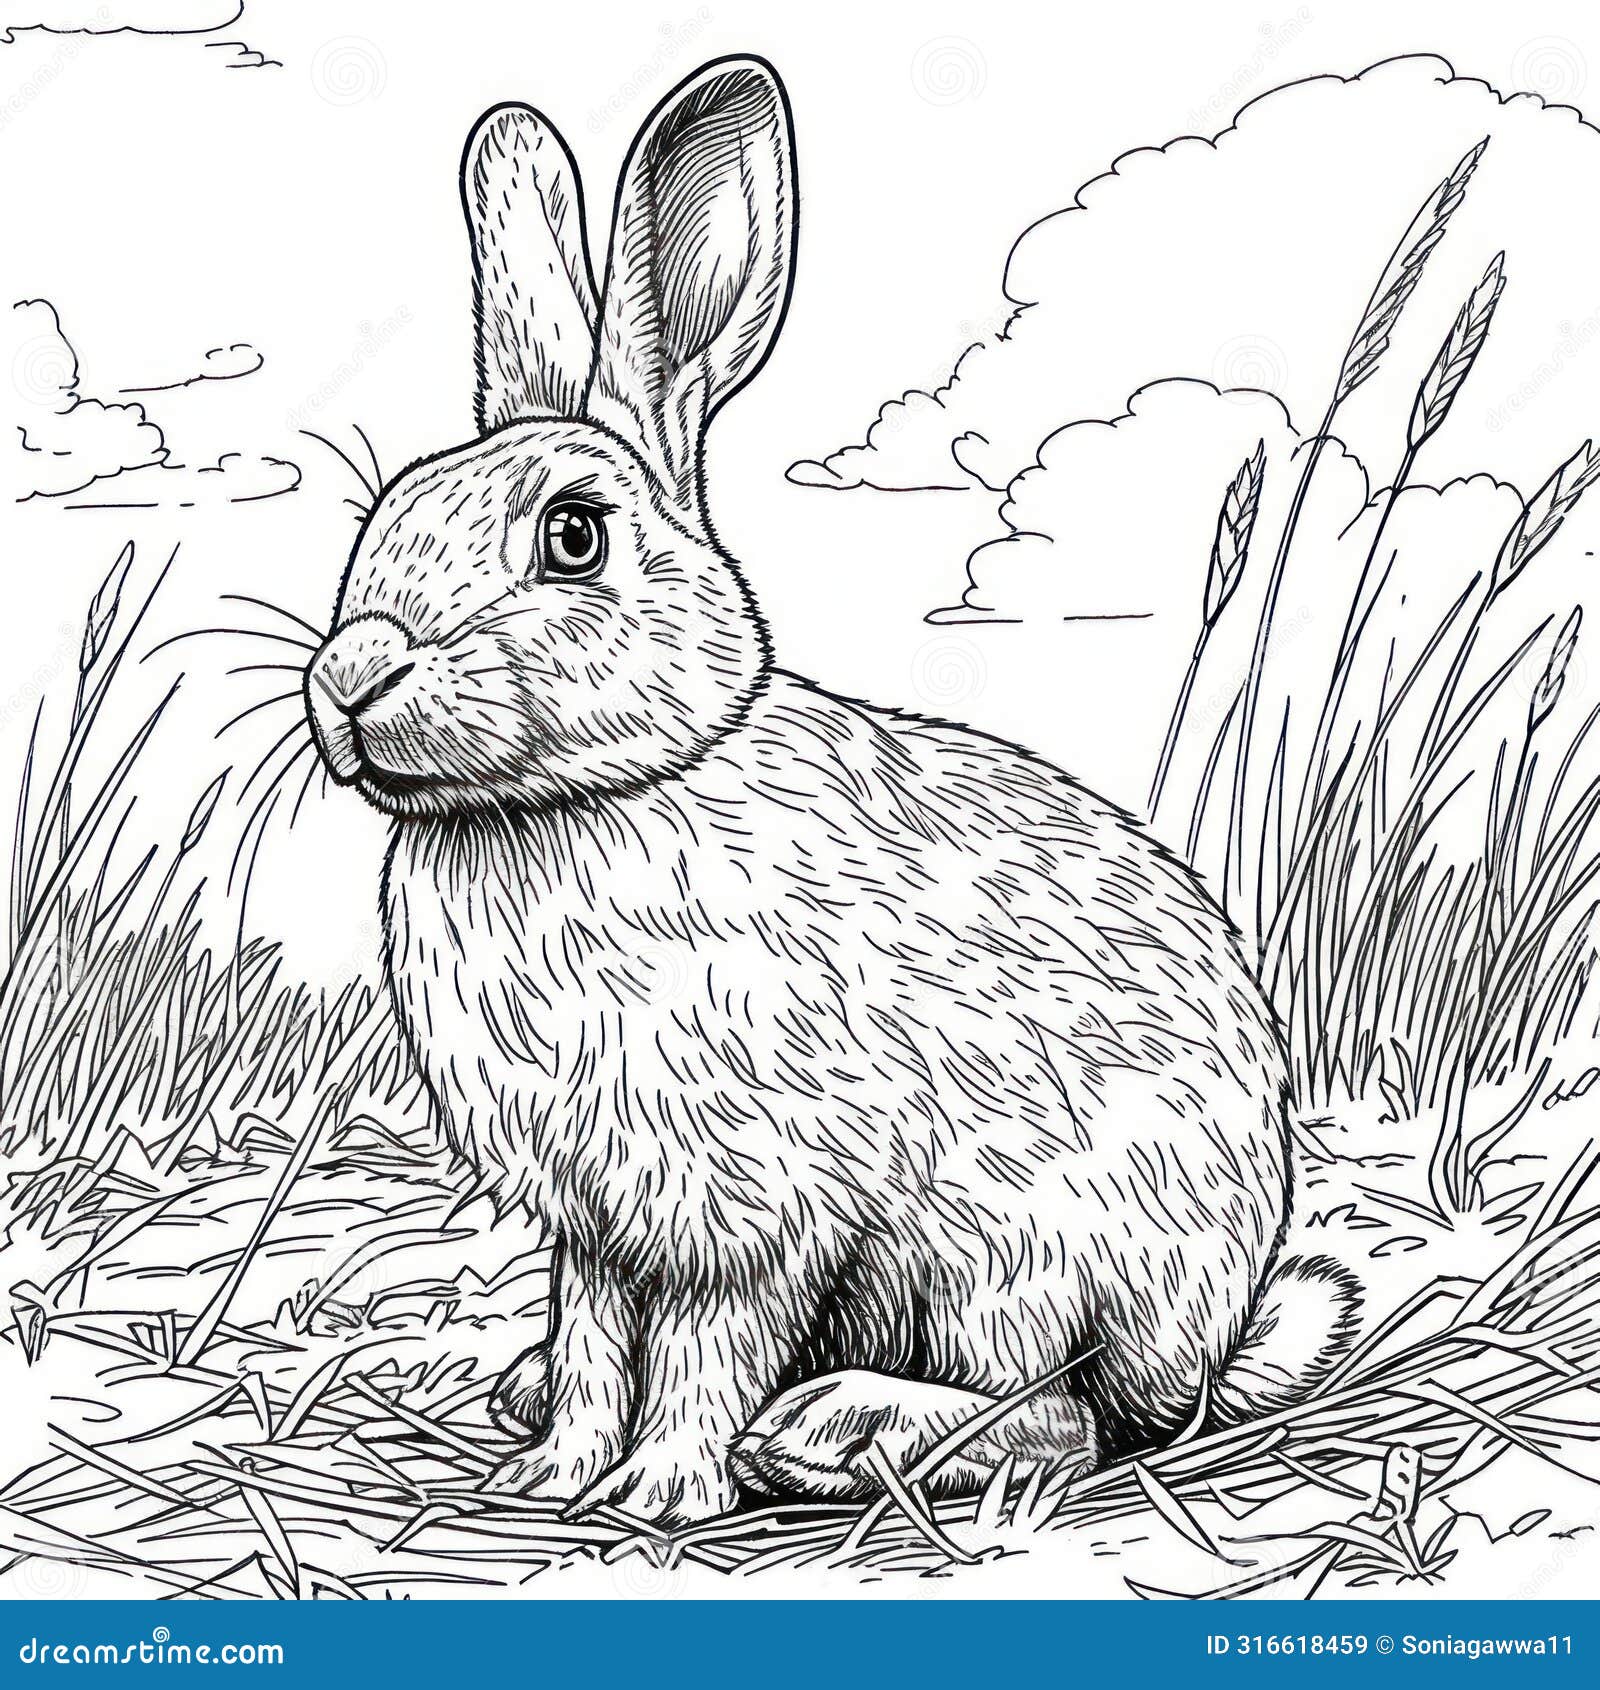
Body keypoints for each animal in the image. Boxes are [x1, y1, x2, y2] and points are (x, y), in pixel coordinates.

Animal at [304, 55, 1360, 1526]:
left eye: (572, 536)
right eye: (380, 516)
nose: (353, 674)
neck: (584, 796)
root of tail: (1215, 1327)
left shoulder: (756, 1206)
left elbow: (705, 1352)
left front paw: (657, 1492)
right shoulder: (597, 1225)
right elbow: (592, 1345)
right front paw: (551, 1471)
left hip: (1015, 1260)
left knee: (1068, 1421)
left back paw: (831, 1434)